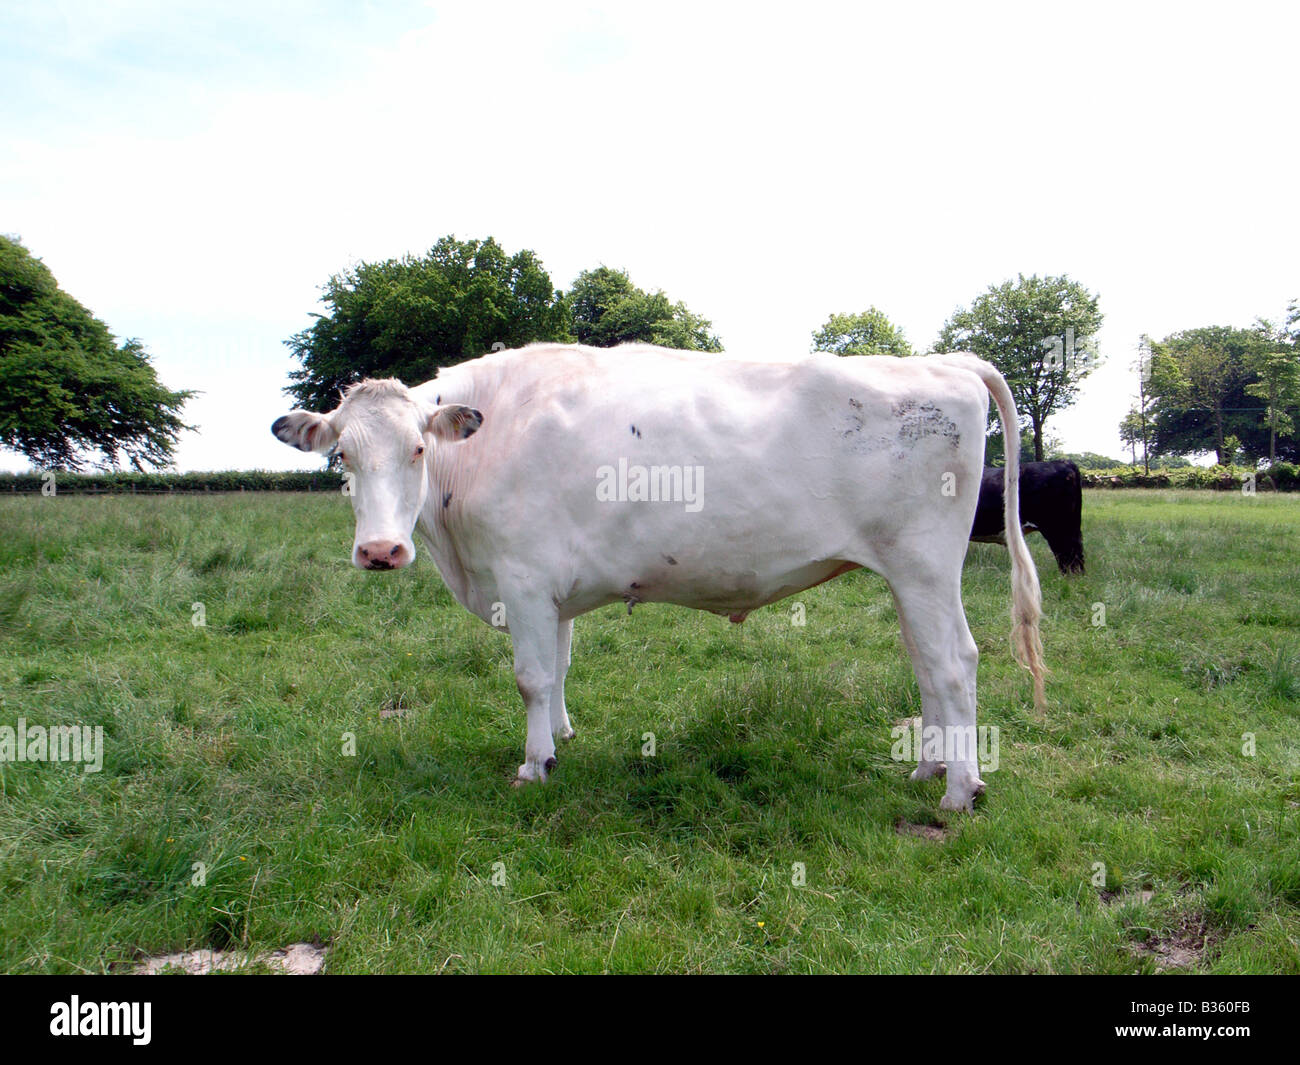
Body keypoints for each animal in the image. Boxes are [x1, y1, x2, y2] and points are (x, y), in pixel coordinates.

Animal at [272, 344, 1046, 812]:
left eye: (417, 448)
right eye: (342, 455)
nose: (379, 550)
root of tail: (946, 362)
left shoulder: (521, 578)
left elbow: (530, 676)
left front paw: (533, 765)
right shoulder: (553, 590)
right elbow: (559, 667)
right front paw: (562, 739)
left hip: (925, 564)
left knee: (953, 662)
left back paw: (959, 791)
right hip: (907, 577)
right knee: (925, 662)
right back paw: (928, 769)